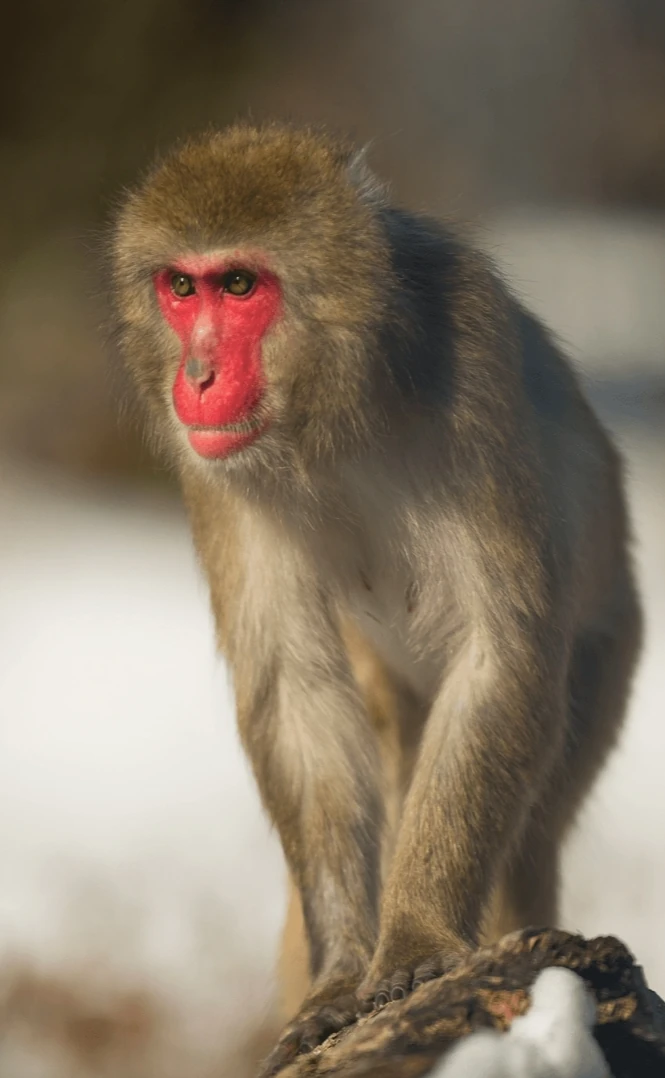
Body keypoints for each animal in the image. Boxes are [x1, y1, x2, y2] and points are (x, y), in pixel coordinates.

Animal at [111, 123, 642, 1075]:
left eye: (239, 285)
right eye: (181, 286)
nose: (198, 374)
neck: (330, 412)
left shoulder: (470, 360)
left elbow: (497, 655)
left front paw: (417, 939)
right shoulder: (214, 467)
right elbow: (294, 693)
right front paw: (336, 979)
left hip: (606, 656)